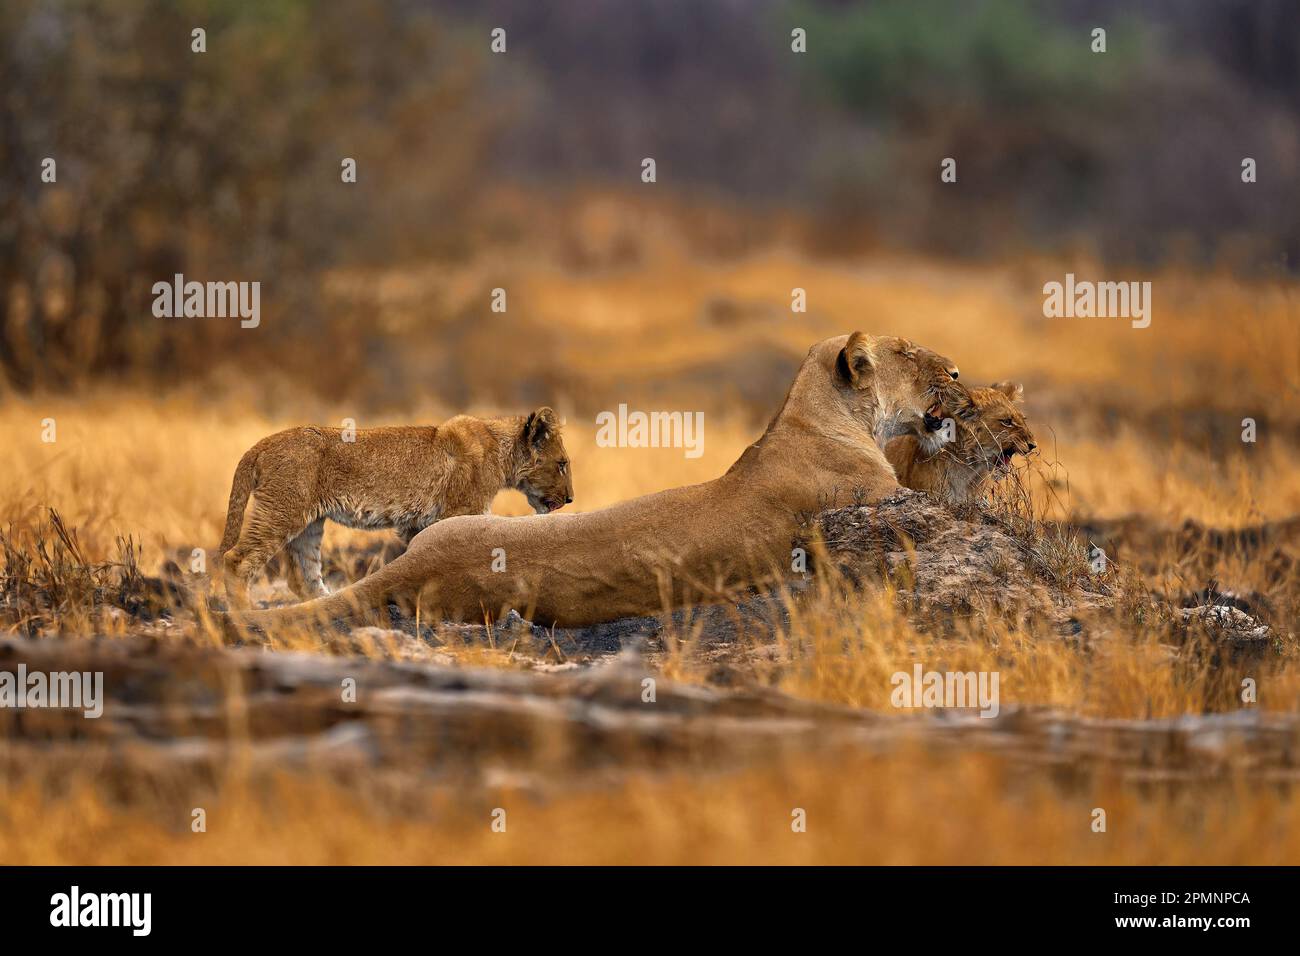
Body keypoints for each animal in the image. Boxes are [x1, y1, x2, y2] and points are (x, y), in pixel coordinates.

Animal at [218, 408, 572, 609]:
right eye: (563, 465)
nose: (570, 499)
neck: (501, 449)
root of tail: (259, 444)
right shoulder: (462, 509)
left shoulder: (419, 523)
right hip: (284, 510)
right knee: (236, 559)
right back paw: (244, 615)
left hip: (309, 522)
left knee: (303, 576)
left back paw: (326, 608)